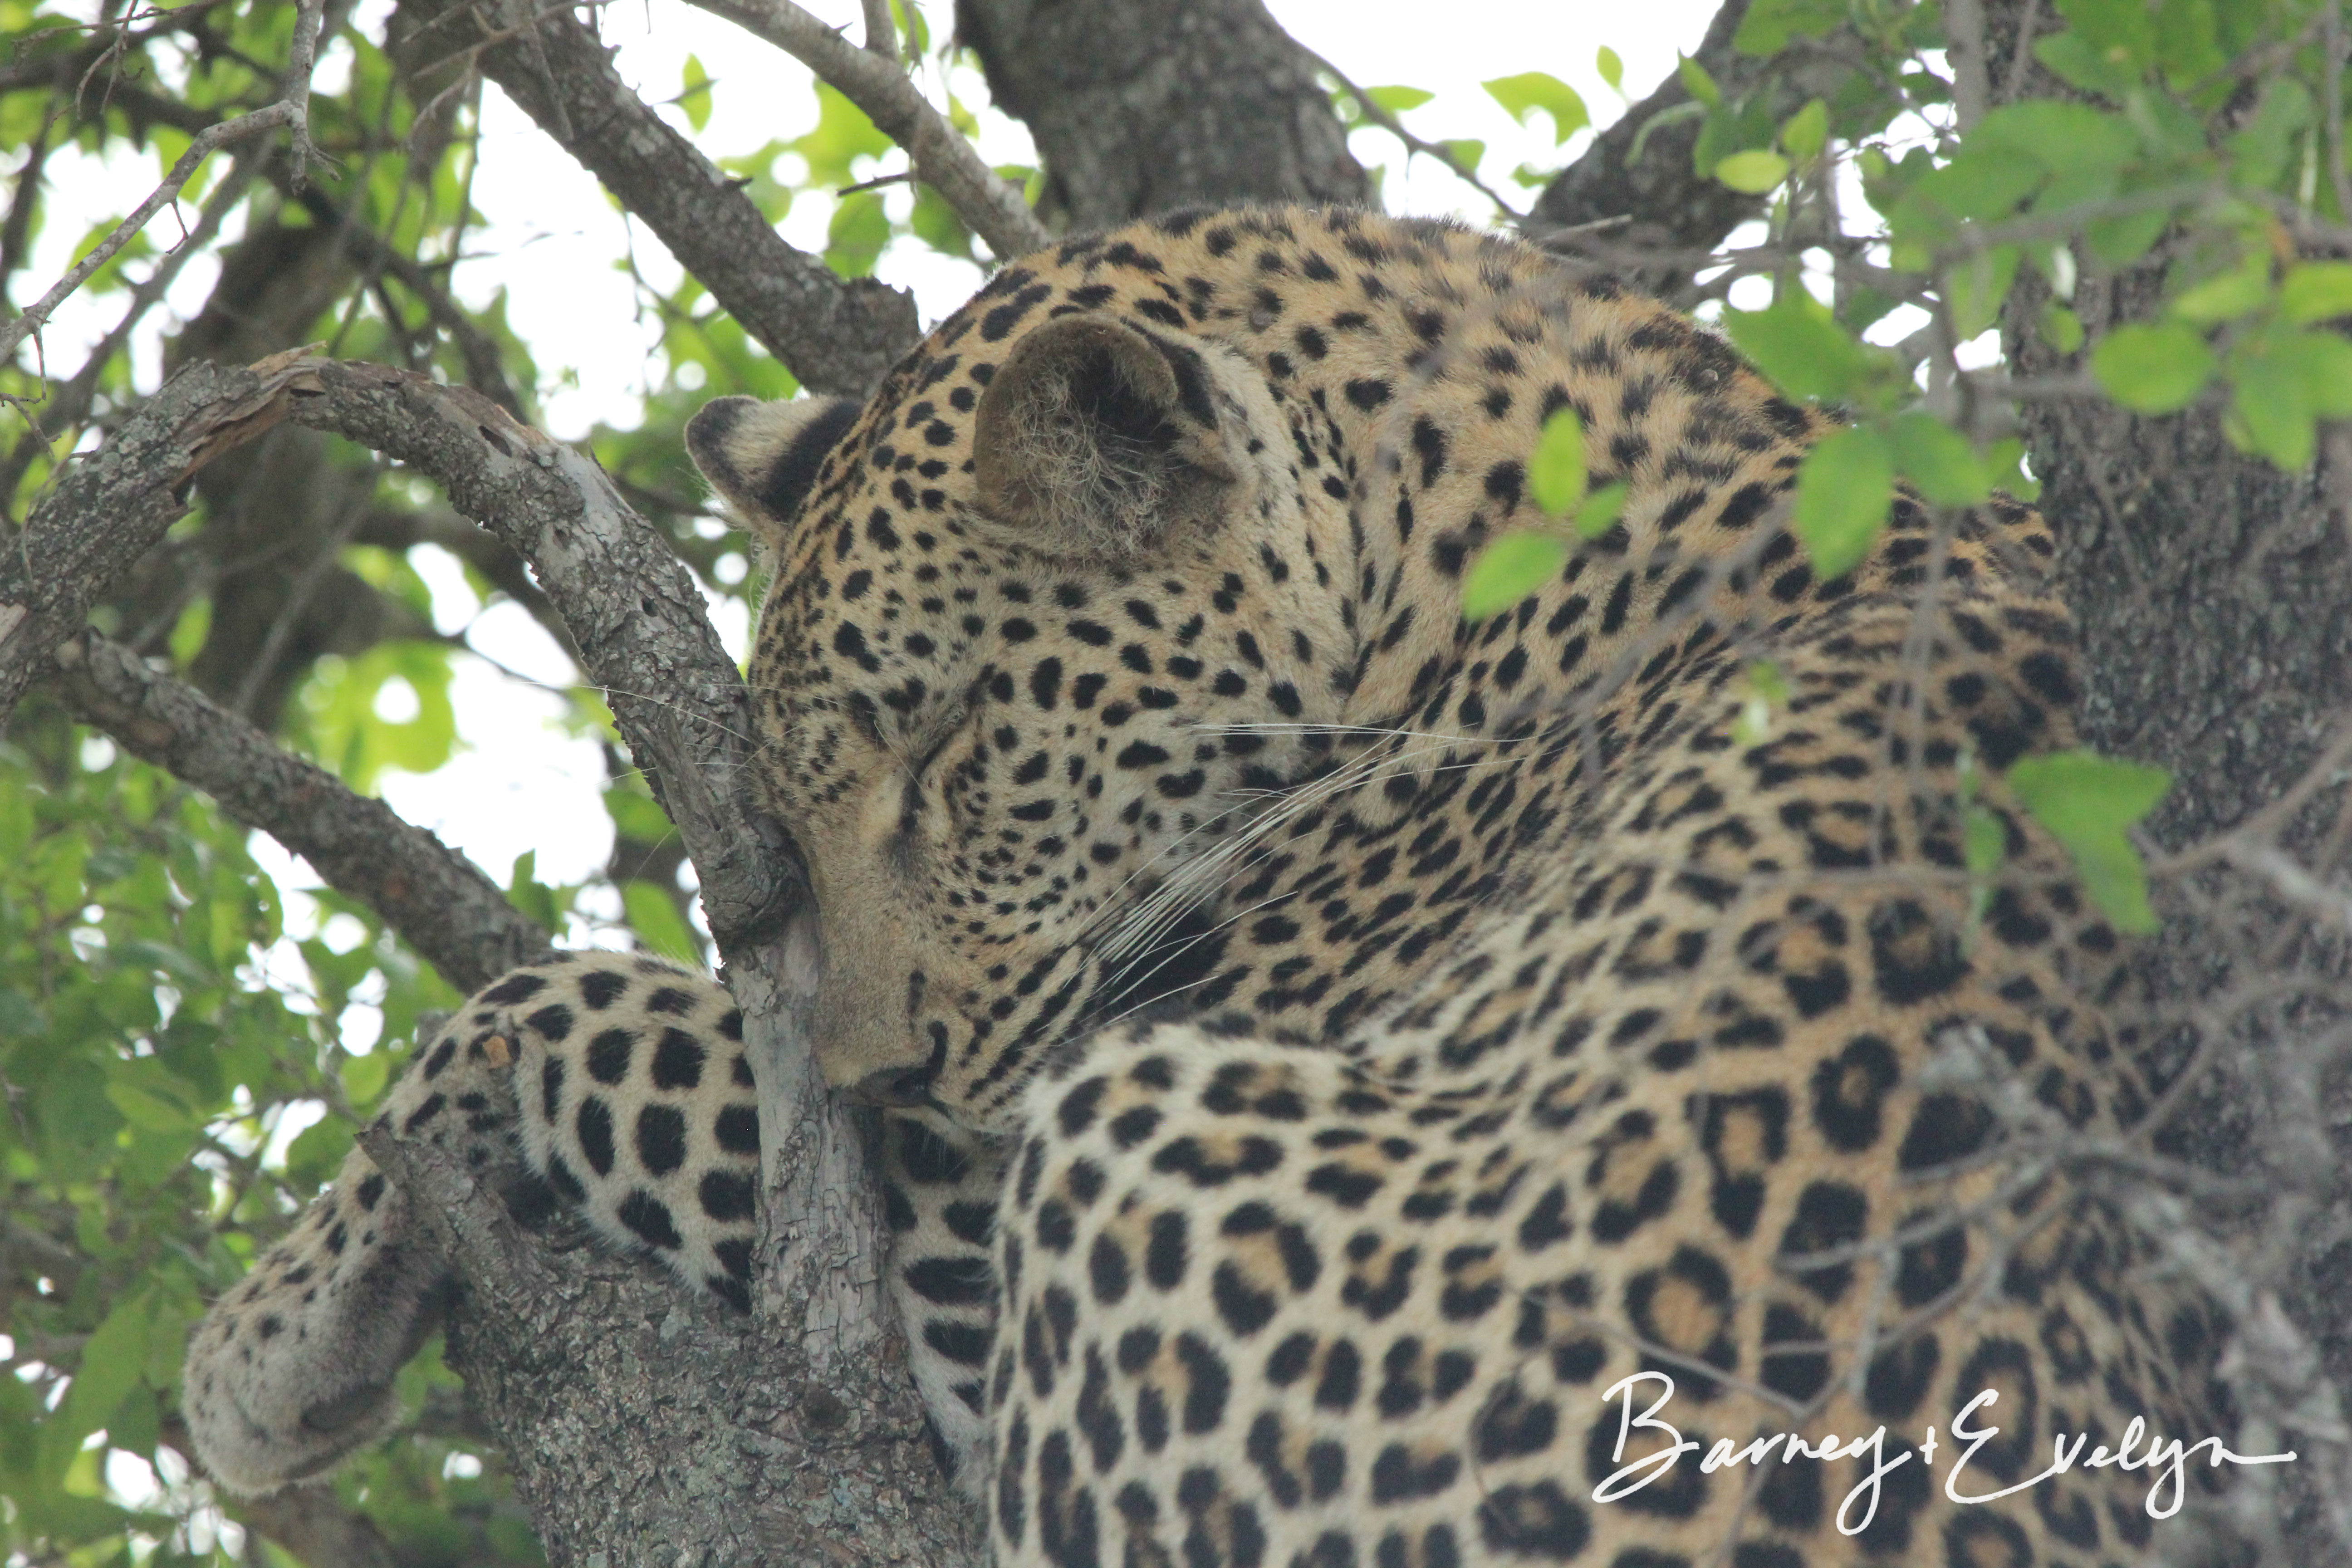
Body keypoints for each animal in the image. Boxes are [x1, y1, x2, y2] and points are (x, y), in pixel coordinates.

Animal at [186, 204, 2235, 1567]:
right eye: (801, 810)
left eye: (952, 750)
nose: (868, 1079)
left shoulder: (1012, 1174)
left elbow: (579, 1011)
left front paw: (259, 1338)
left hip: (1160, 1148)